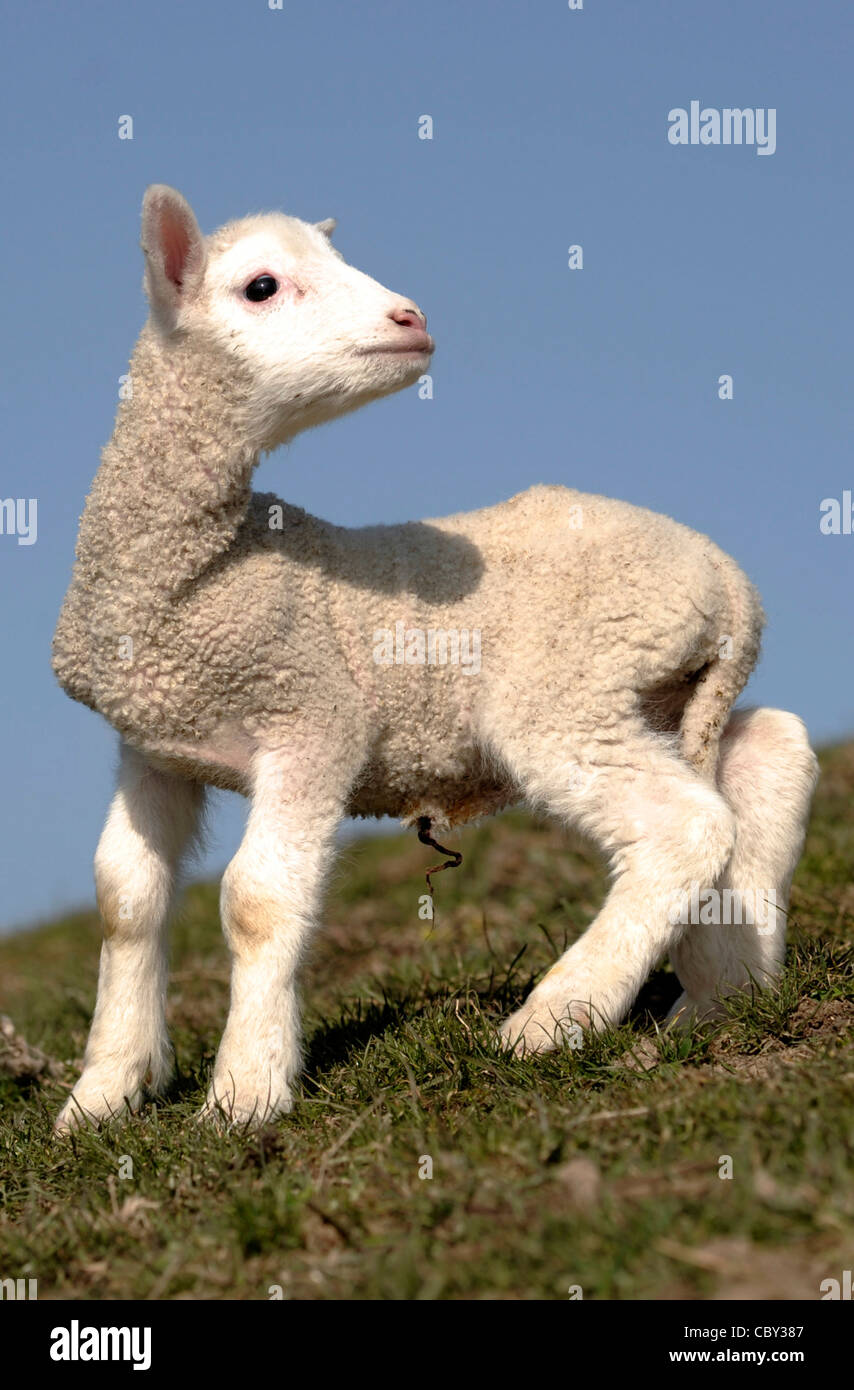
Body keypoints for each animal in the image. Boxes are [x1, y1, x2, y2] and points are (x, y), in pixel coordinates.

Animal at [52, 184, 819, 1132]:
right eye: (261, 286)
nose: (410, 318)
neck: (203, 567)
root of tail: (730, 584)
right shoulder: (151, 744)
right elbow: (125, 901)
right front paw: (101, 1100)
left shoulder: (312, 718)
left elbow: (258, 900)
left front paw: (245, 1094)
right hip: (662, 692)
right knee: (765, 756)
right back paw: (723, 1000)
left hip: (569, 690)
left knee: (686, 825)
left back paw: (553, 1019)